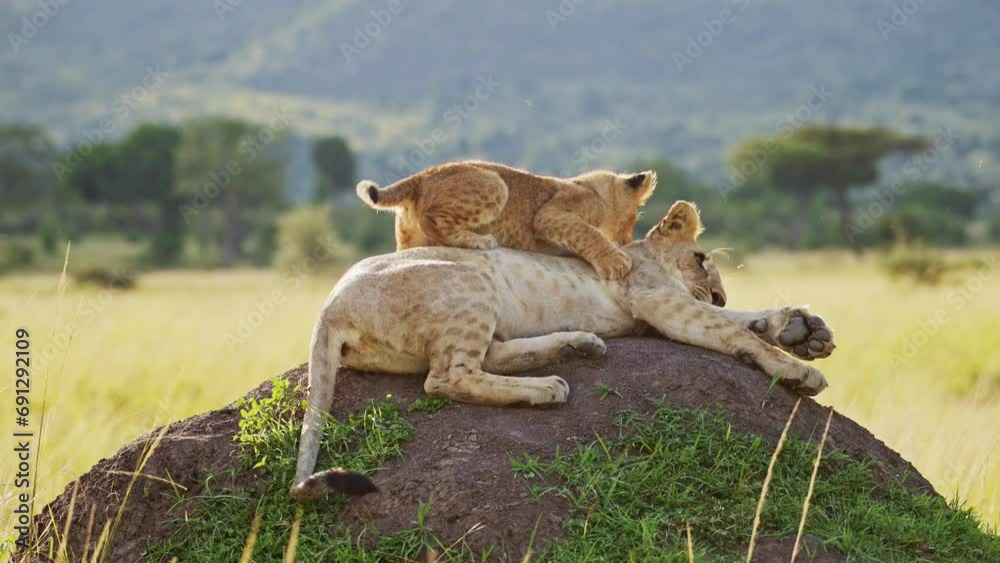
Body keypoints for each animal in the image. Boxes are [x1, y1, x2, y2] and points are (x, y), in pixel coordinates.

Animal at [290, 200, 835, 500]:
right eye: (701, 258)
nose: (719, 294)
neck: (644, 255)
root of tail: (328, 305)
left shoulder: (661, 309)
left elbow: (744, 321)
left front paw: (802, 330)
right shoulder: (659, 303)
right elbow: (733, 332)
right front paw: (797, 369)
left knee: (485, 359)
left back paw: (577, 347)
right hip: (468, 282)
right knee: (446, 377)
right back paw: (547, 387)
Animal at [356, 160, 656, 280]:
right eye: (631, 221)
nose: (627, 240)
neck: (593, 188)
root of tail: (420, 176)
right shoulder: (550, 215)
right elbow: (587, 232)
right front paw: (615, 261)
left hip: (406, 237)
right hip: (495, 183)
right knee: (432, 219)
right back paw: (479, 241)